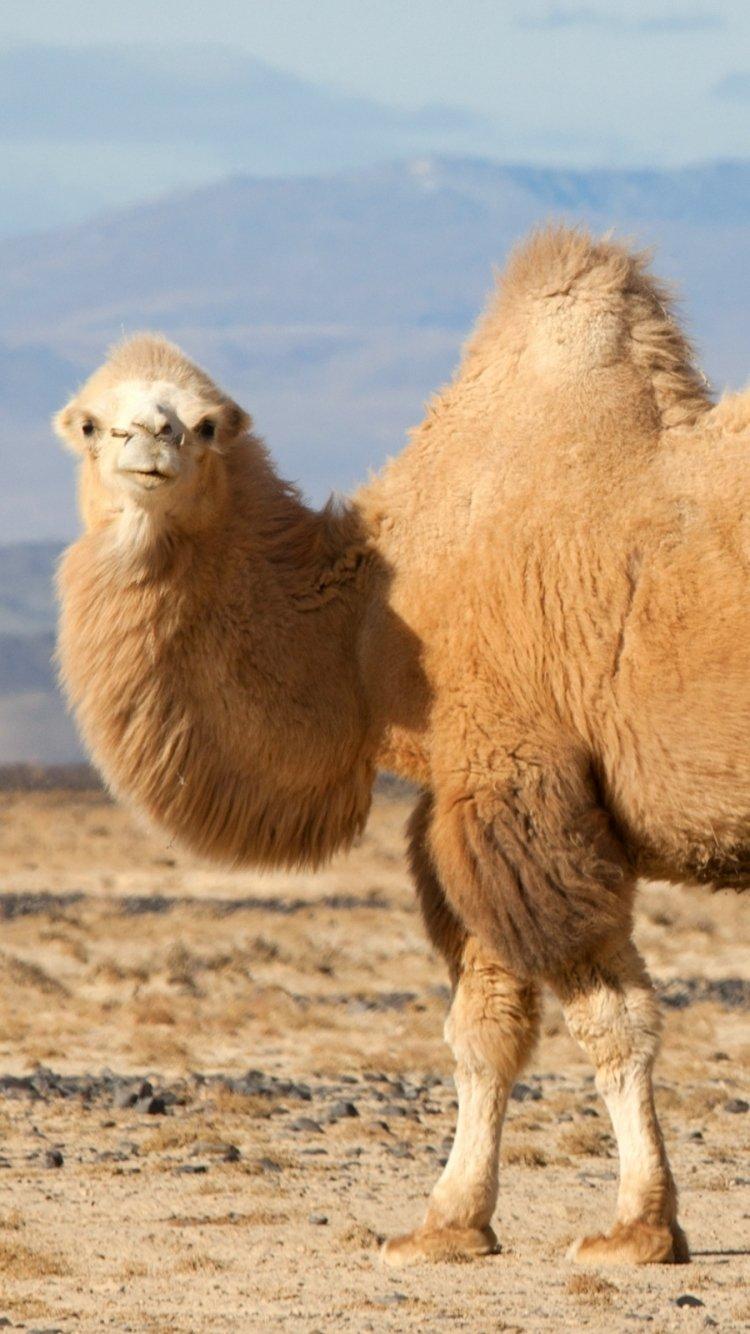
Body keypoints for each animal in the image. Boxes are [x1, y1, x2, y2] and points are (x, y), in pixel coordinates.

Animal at [55, 226, 749, 1269]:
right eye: (95, 424)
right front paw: (450, 1224)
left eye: (206, 425)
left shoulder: (520, 784)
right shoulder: (472, 792)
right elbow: (487, 1027)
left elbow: (606, 1020)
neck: (371, 614)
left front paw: (636, 1228)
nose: (151, 443)